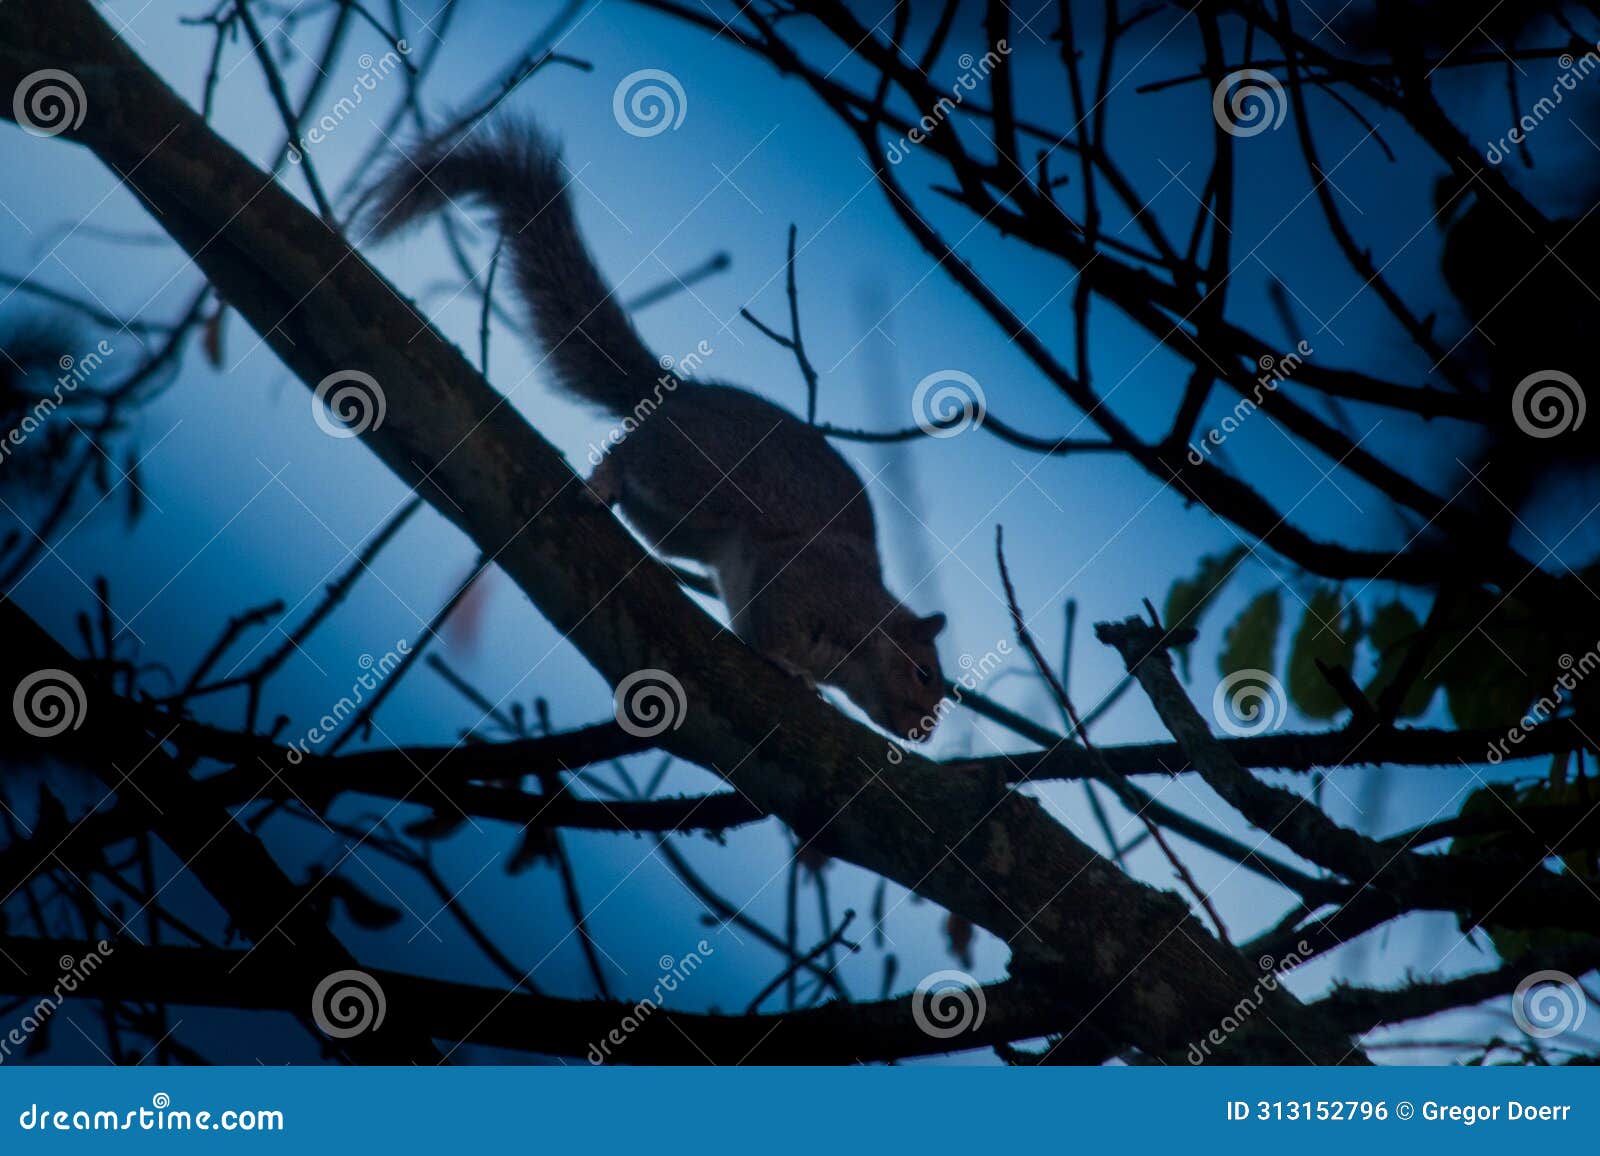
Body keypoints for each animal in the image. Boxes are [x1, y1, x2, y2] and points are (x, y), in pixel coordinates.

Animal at [365, 117, 948, 740]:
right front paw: (793, 668)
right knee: (629, 453)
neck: (866, 622)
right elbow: (775, 626)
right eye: (923, 672)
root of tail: (674, 394)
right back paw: (602, 481)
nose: (924, 731)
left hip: (678, 523)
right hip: (694, 477)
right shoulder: (806, 582)